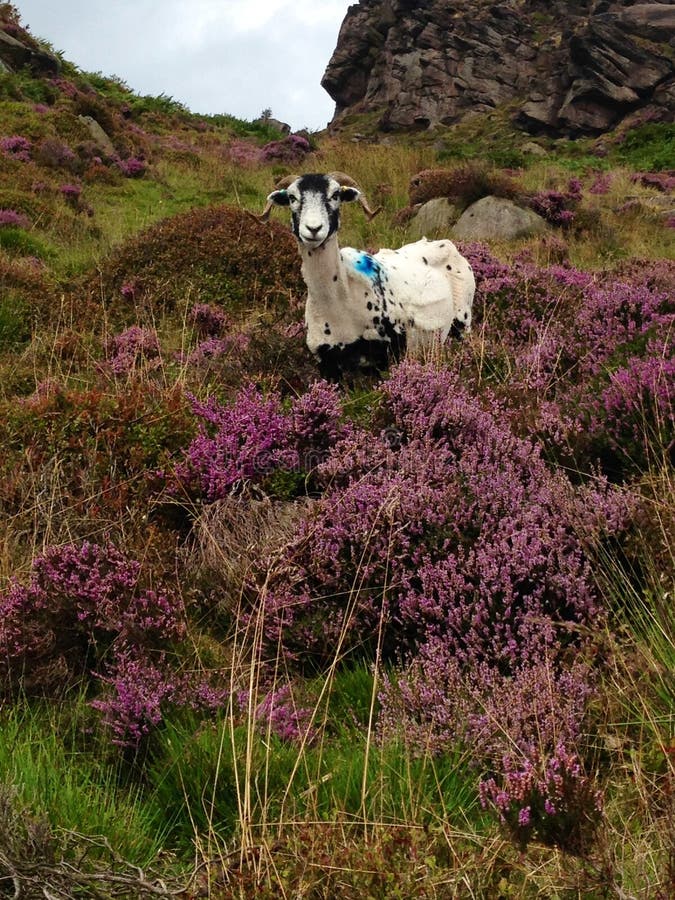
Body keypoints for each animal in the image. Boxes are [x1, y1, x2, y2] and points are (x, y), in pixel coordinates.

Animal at [258, 172, 475, 381]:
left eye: (336, 195)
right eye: (291, 197)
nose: (313, 229)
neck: (340, 301)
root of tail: (448, 244)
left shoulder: (389, 354)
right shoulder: (326, 363)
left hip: (462, 323)